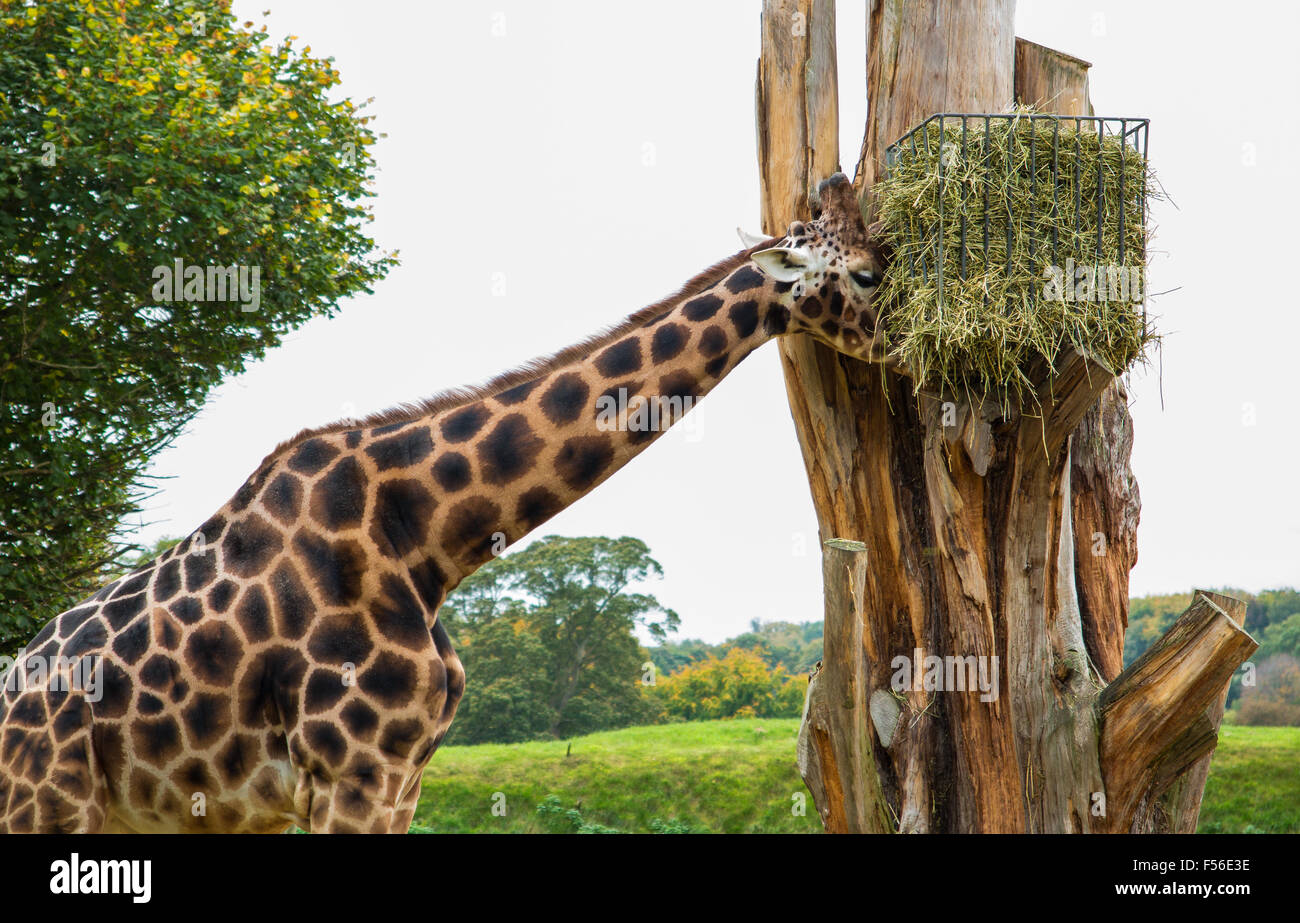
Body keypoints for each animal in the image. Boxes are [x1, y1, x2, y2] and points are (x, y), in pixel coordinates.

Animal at [0, 173, 887, 833]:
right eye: (871, 272)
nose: (909, 346)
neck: (428, 539)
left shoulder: (403, 776)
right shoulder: (353, 771)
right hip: (49, 804)